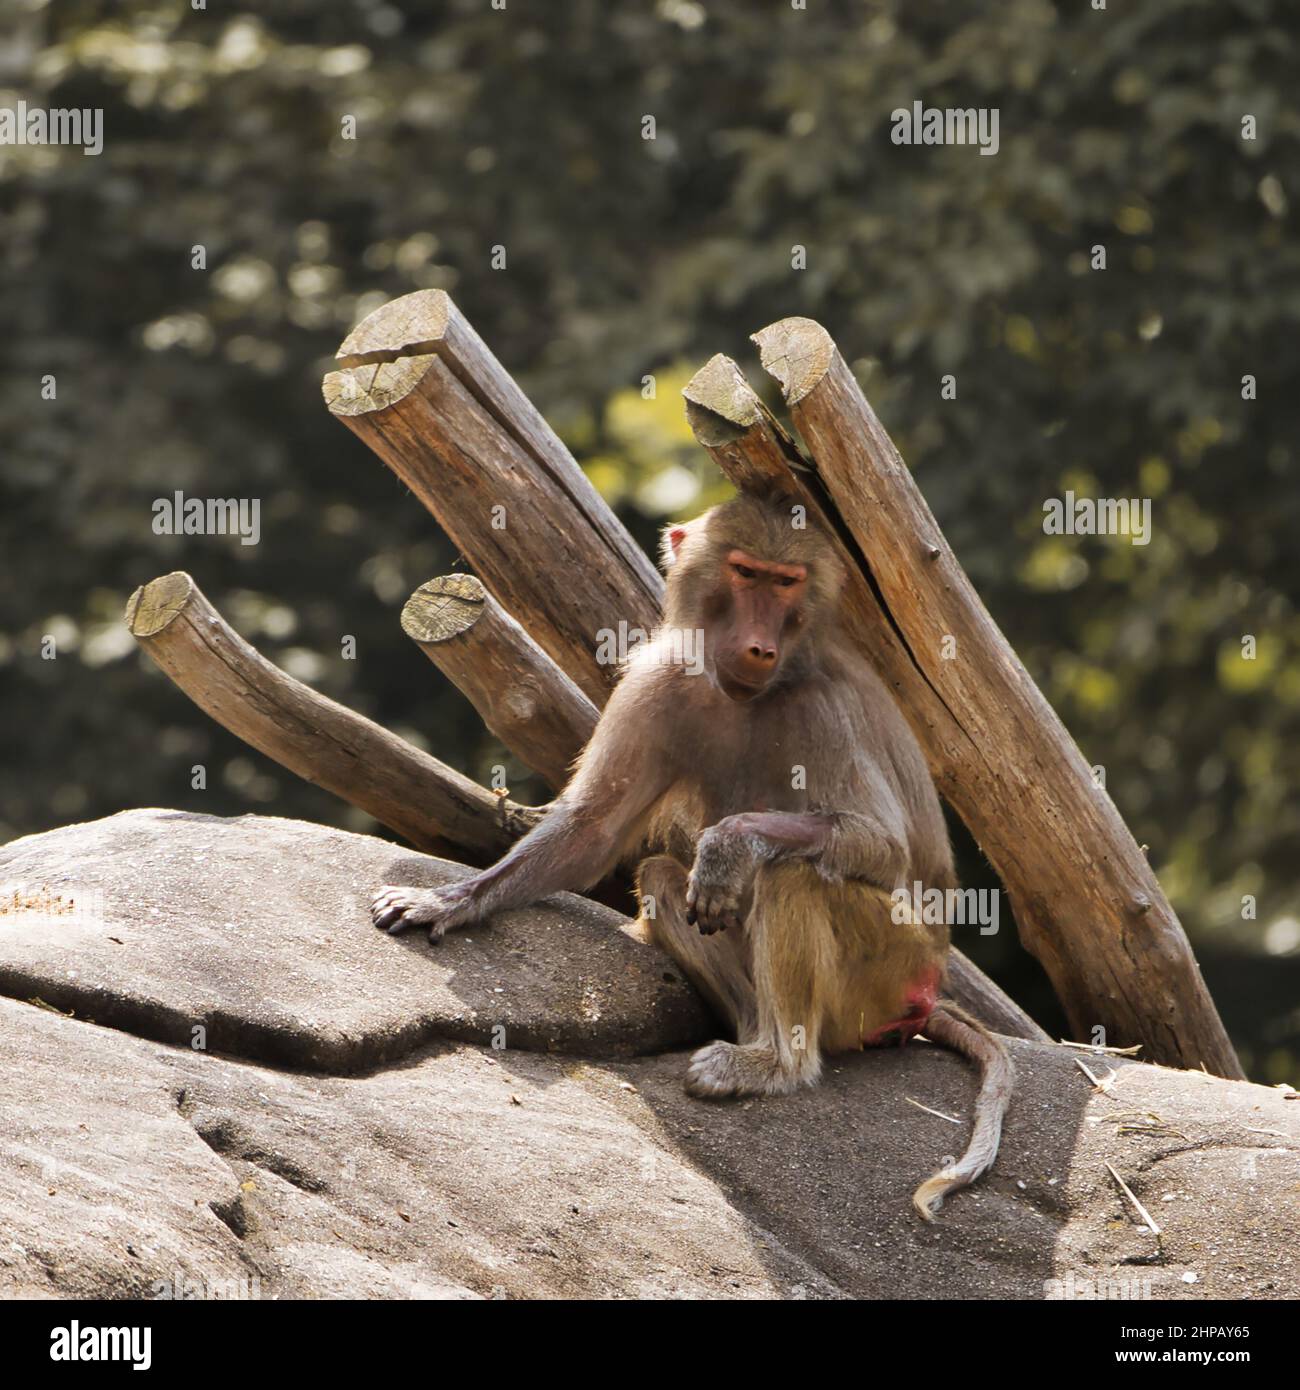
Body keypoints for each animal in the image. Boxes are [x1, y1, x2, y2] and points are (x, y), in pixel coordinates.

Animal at [372, 490, 1013, 1219]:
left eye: (786, 582)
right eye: (745, 572)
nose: (760, 645)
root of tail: (927, 988)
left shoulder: (829, 709)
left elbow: (882, 846)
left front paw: (728, 845)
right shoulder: (661, 681)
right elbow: (594, 830)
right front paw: (445, 900)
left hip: (889, 969)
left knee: (792, 875)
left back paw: (776, 1065)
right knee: (659, 876)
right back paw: (751, 1030)